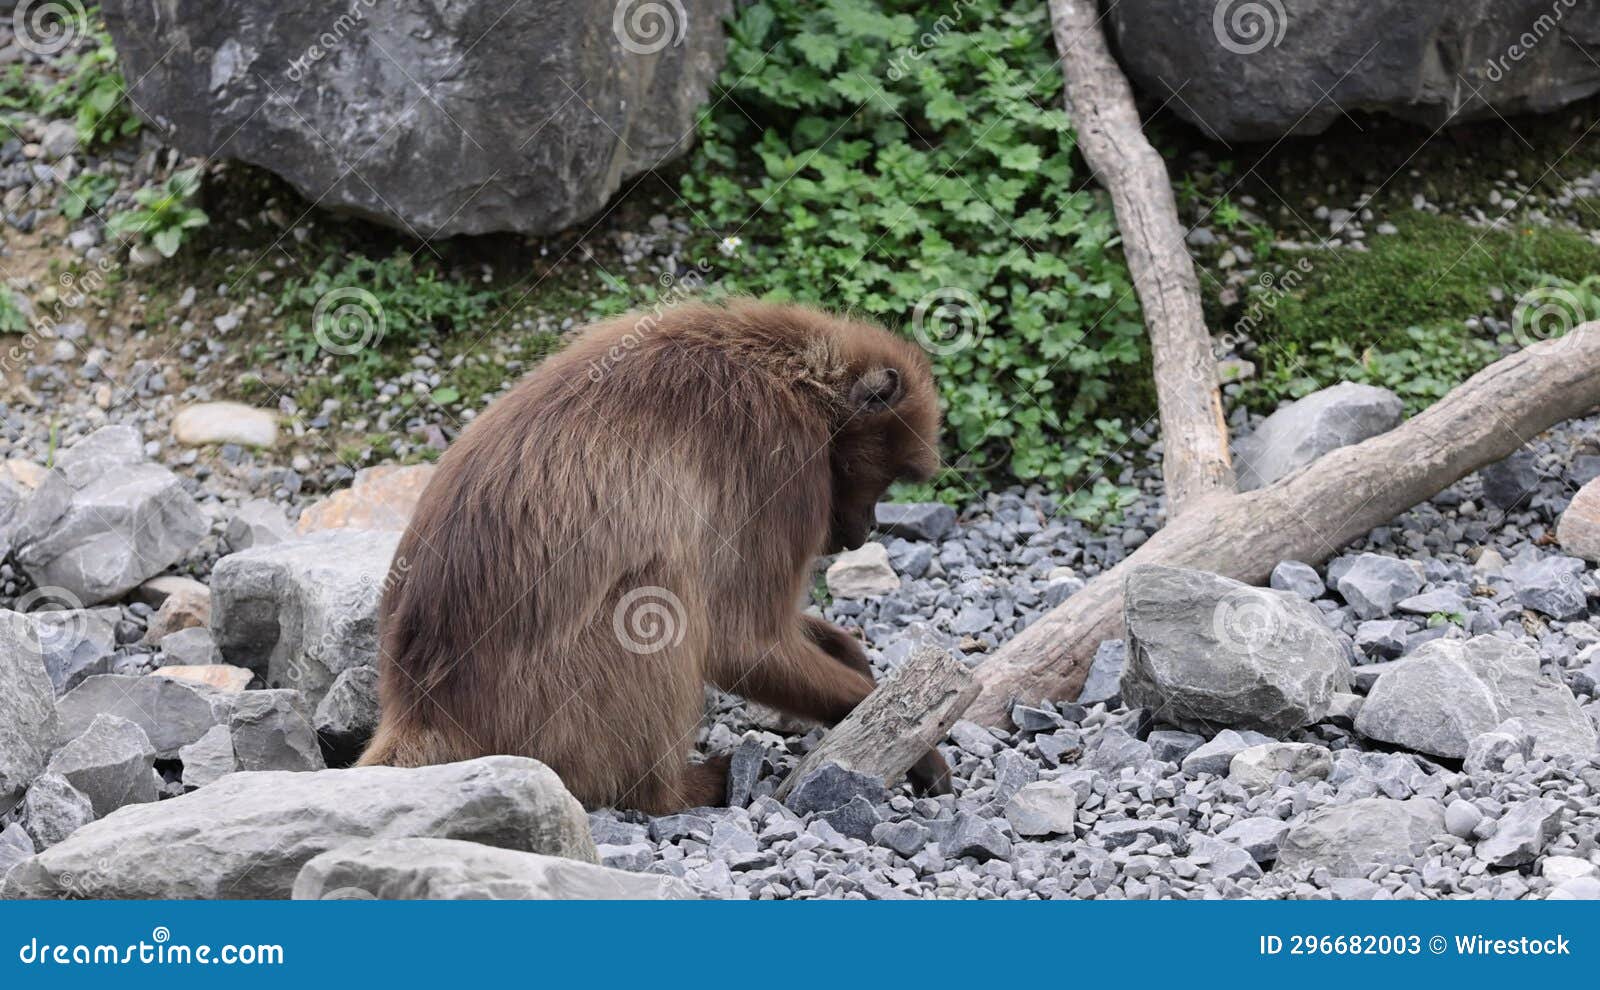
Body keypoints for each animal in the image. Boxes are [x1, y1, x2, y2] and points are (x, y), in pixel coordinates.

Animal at [359, 299, 953, 813]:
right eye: (878, 474)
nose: (861, 533)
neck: (794, 376)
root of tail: (421, 712)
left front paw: (857, 663)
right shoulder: (781, 460)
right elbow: (743, 640)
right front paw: (916, 745)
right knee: (661, 595)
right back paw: (683, 789)